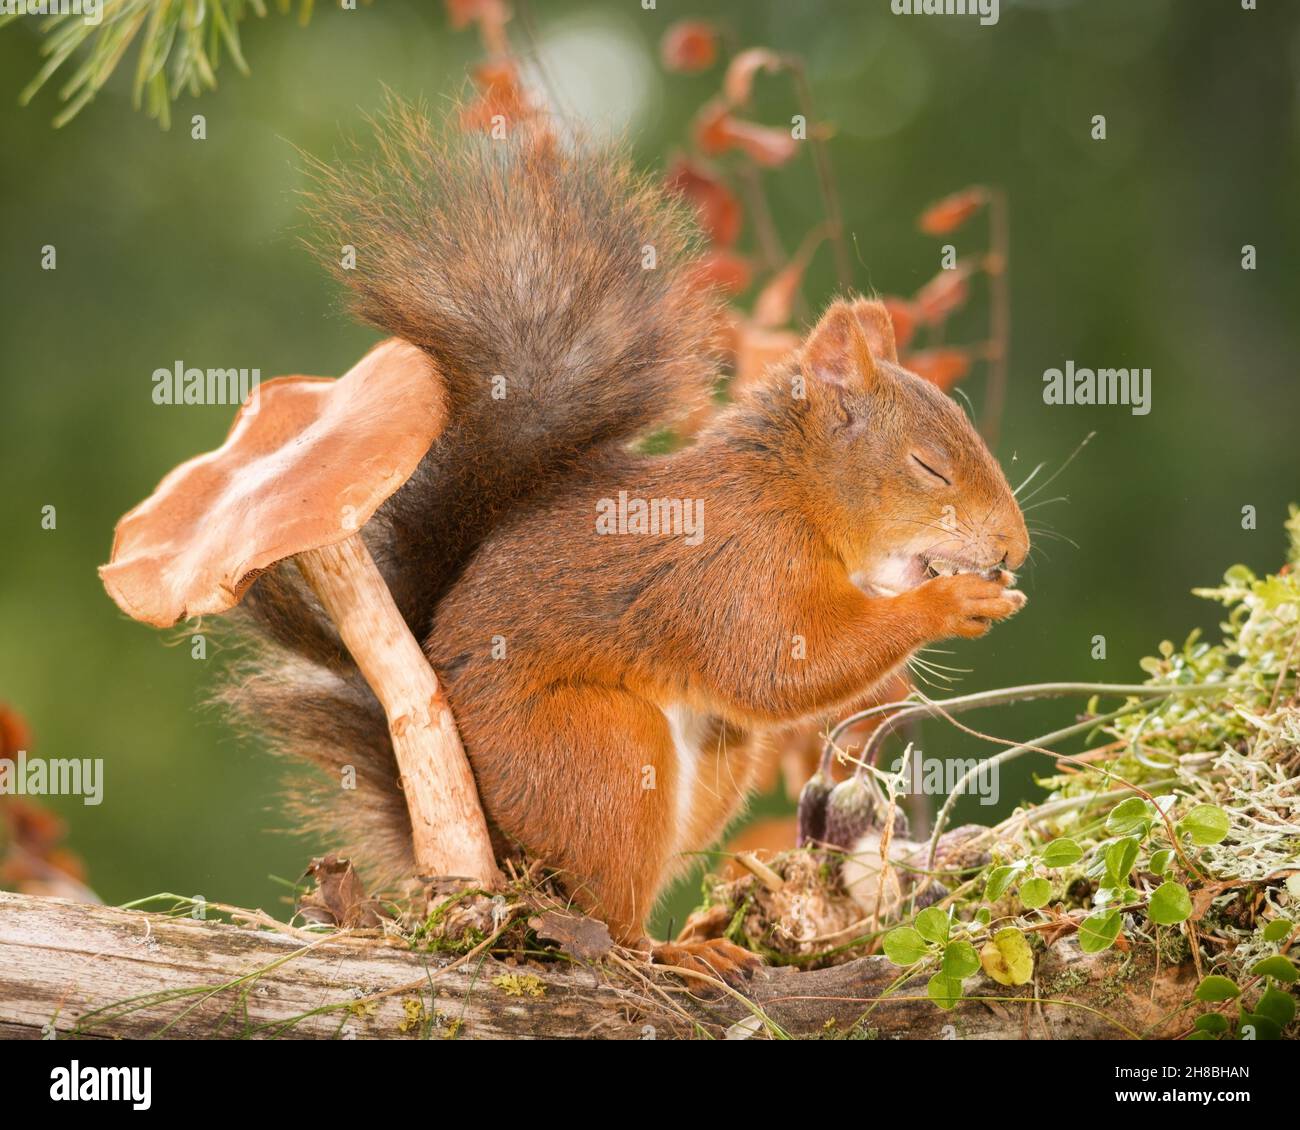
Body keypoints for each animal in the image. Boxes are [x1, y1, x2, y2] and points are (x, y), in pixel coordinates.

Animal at [223, 103, 1029, 981]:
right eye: (929, 466)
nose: (1015, 549)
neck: (790, 493)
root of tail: (496, 856)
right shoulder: (733, 566)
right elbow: (778, 666)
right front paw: (951, 603)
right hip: (599, 754)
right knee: (607, 914)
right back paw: (669, 951)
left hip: (711, 761)